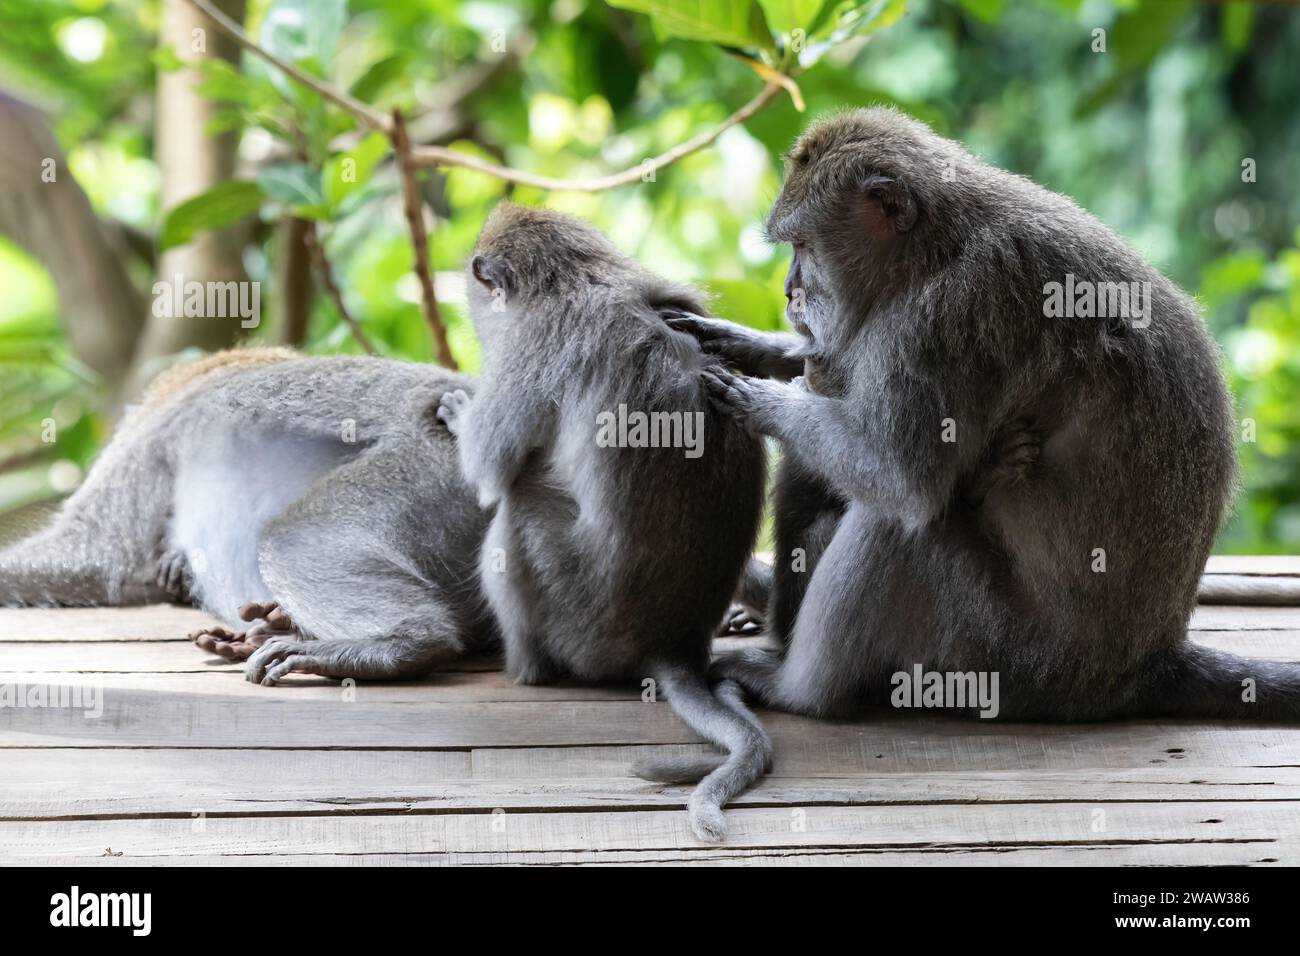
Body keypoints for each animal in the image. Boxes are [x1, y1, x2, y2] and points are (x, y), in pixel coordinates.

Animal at [435, 203, 771, 841]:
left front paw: (460, 414)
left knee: (519, 508)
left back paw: (528, 668)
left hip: (581, 625)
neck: (578, 275)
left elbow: (488, 468)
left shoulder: (531, 345)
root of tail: (675, 643)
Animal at [662, 106, 1300, 724]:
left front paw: (759, 399)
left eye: (804, 248)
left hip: (1004, 657)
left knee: (897, 523)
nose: (791, 292)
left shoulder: (942, 322)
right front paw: (746, 344)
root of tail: (1146, 666)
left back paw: (800, 691)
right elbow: (836, 374)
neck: (934, 251)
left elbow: (898, 473)